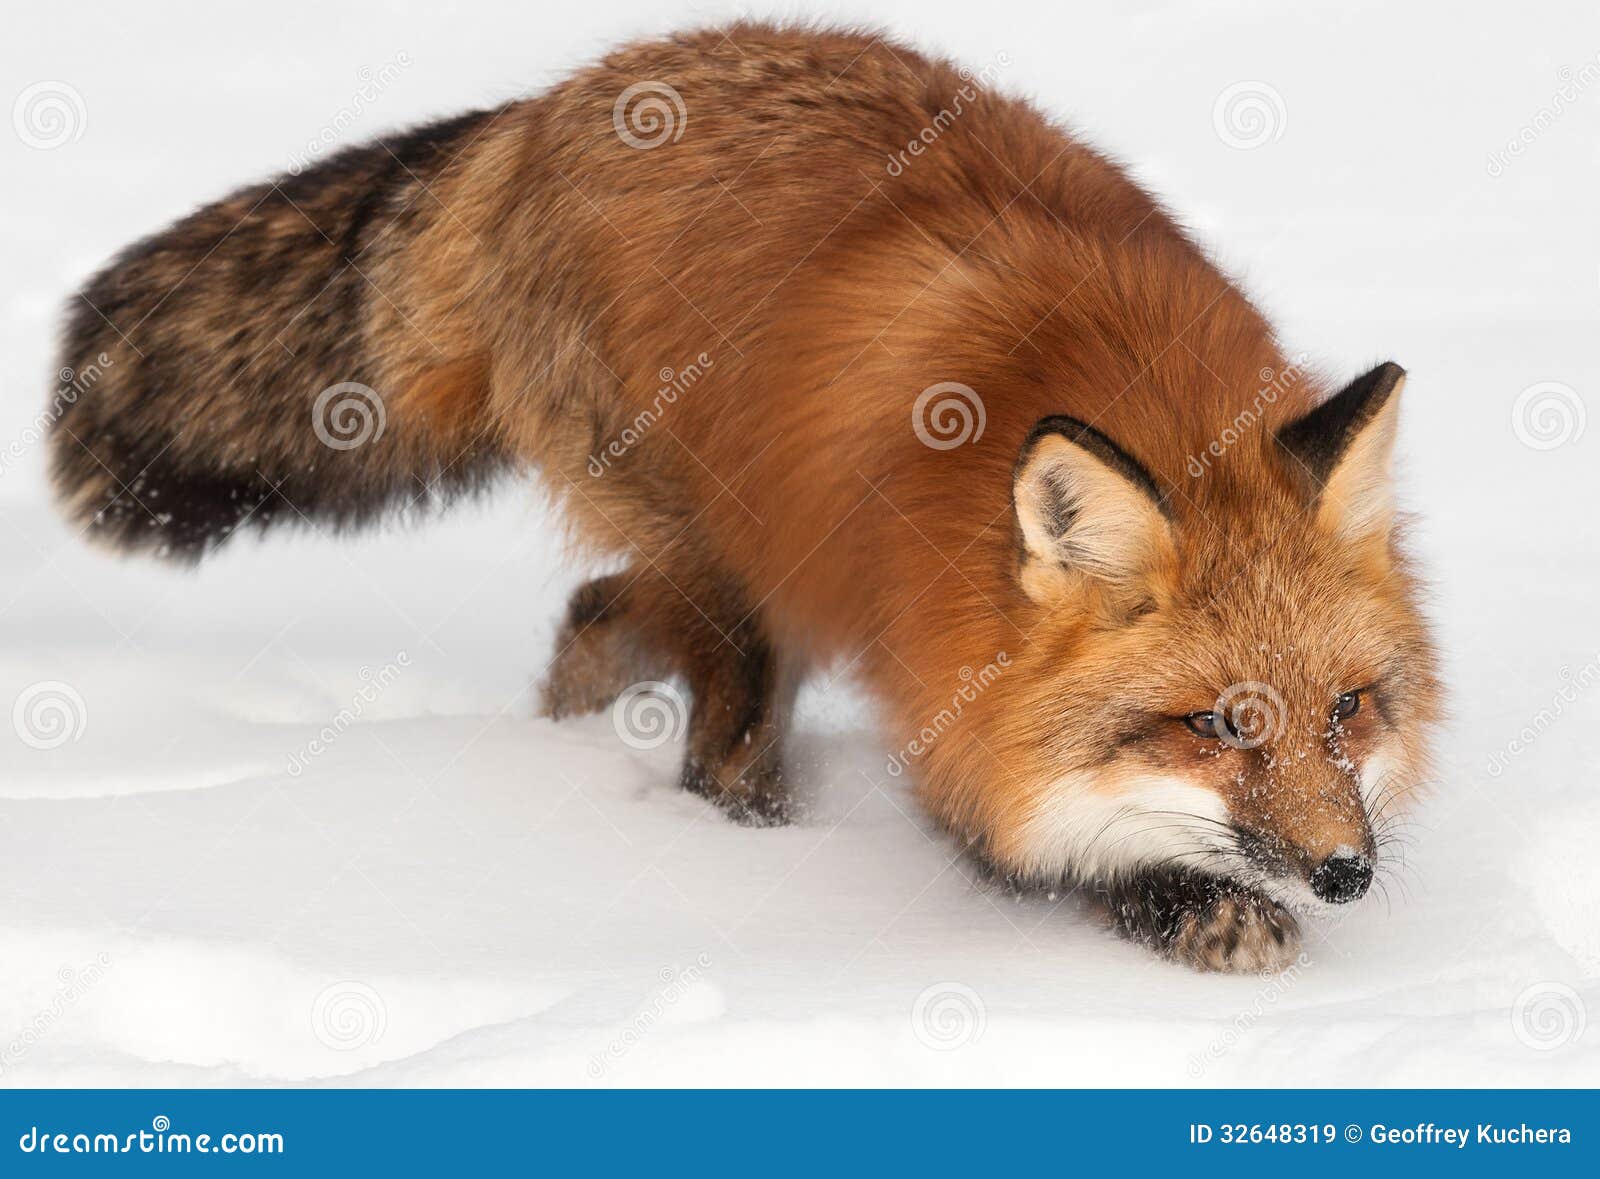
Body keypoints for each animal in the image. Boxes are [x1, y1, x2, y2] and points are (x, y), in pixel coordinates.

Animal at [49, 24, 1441, 972]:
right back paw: (732, 843)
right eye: (1211, 727)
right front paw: (1193, 904)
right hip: (738, 571)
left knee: (592, 612)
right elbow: (1034, 845)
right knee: (699, 716)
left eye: (1348, 711)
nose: (1344, 875)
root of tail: (548, 103)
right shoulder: (950, 709)